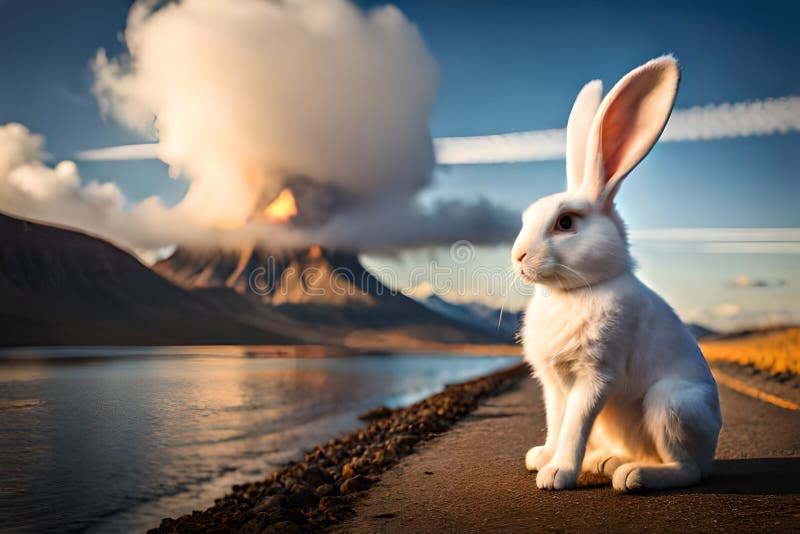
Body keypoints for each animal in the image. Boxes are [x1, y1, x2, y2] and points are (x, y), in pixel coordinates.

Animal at [512, 56, 722, 492]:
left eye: (566, 222)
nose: (517, 256)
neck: (575, 290)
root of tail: (712, 453)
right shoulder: (553, 385)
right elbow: (556, 423)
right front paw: (541, 457)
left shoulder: (596, 377)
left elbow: (574, 427)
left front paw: (557, 474)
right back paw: (605, 463)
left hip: (672, 406)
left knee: (687, 469)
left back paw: (633, 476)